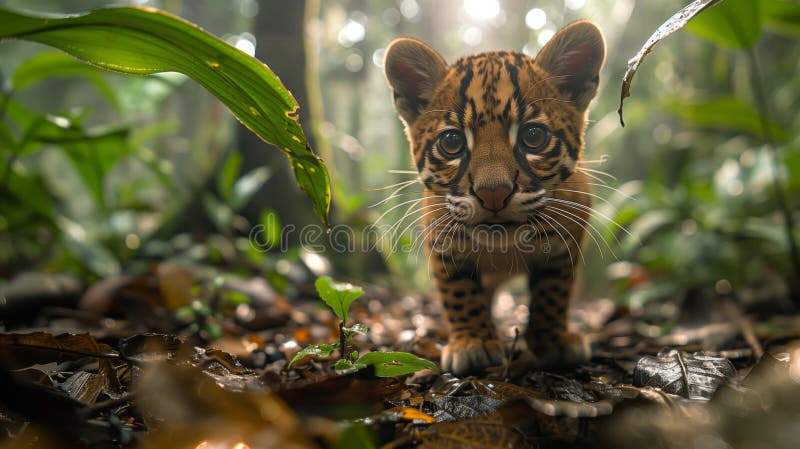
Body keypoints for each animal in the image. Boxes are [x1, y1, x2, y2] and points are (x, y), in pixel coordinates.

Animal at [383, 21, 606, 376]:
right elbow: (459, 291)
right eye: (452, 142)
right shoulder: (443, 240)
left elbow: (553, 291)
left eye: (533, 136)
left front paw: (552, 340)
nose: (493, 192)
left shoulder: (567, 239)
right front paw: (472, 341)